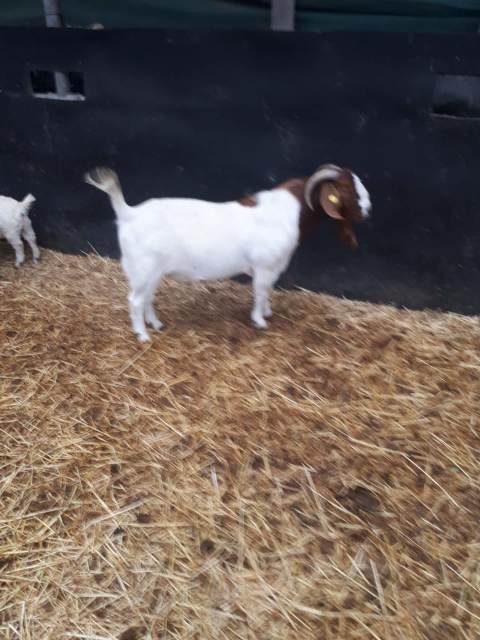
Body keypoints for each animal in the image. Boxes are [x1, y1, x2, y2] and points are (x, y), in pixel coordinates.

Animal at [84, 164, 371, 342]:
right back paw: (143, 335)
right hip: (144, 269)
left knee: (146, 300)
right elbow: (260, 291)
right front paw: (260, 320)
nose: (368, 209)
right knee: (135, 300)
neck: (287, 213)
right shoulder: (264, 267)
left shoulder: (272, 268)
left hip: (151, 272)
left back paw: (156, 324)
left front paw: (267, 312)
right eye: (347, 189)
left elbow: (267, 292)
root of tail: (128, 212)